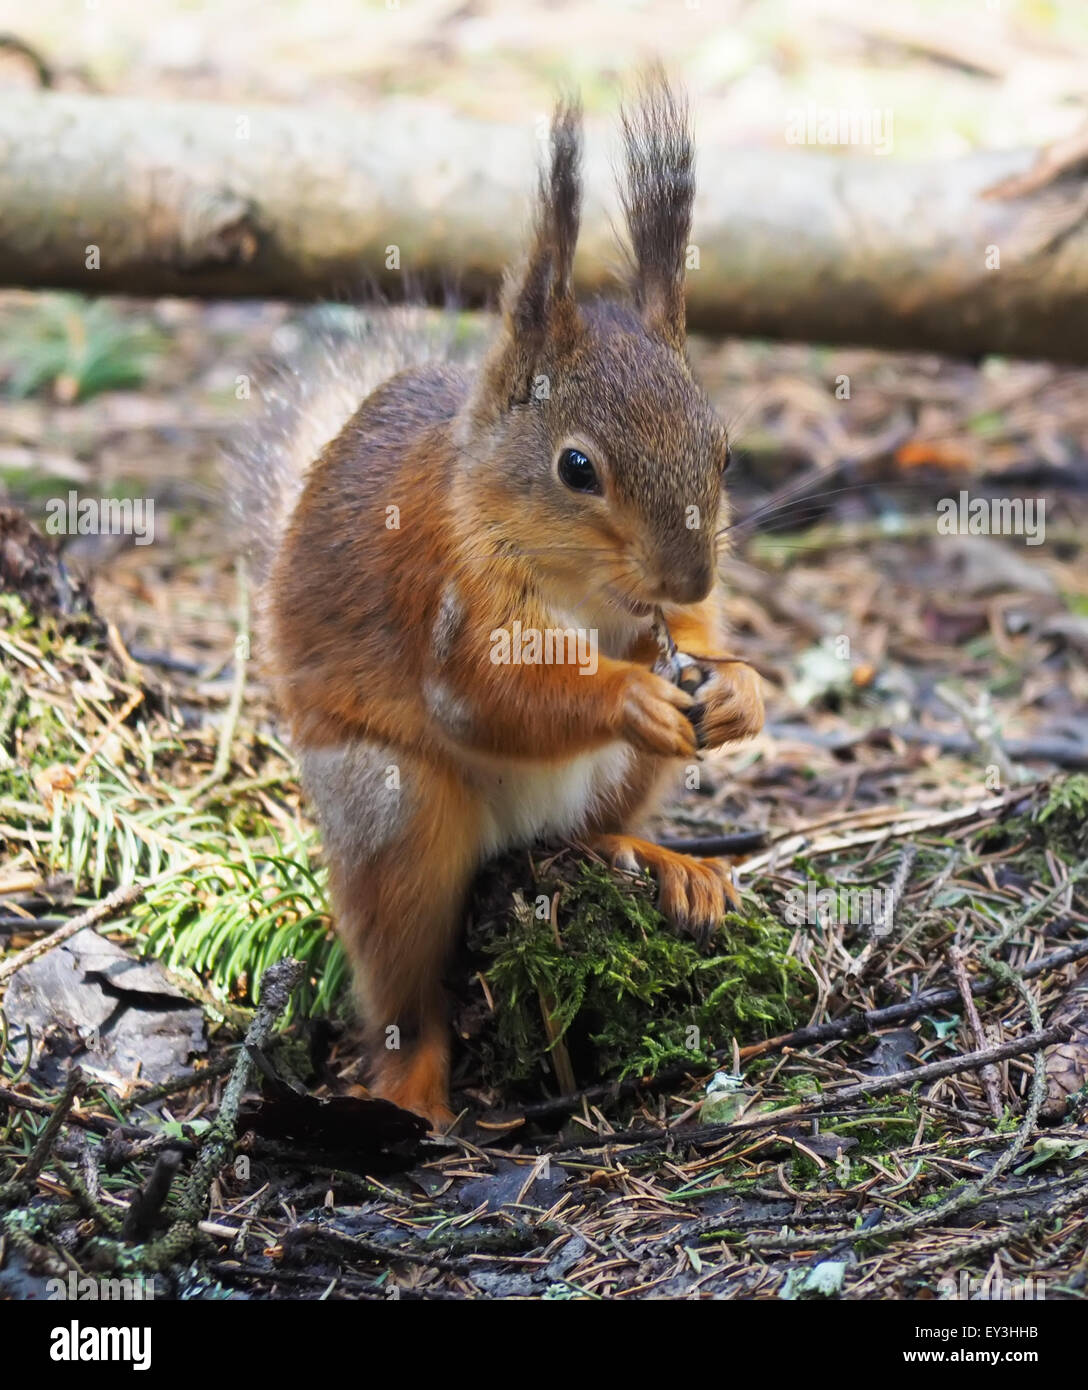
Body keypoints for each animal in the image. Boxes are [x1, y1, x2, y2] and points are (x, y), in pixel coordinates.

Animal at [241, 78, 765, 1128]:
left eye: (724, 450)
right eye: (577, 468)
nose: (690, 576)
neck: (584, 589)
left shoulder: (659, 618)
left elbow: (695, 639)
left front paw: (739, 690)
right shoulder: (452, 595)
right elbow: (484, 696)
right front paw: (626, 694)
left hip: (617, 785)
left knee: (588, 832)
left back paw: (663, 862)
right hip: (394, 811)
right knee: (401, 984)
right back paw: (411, 1088)